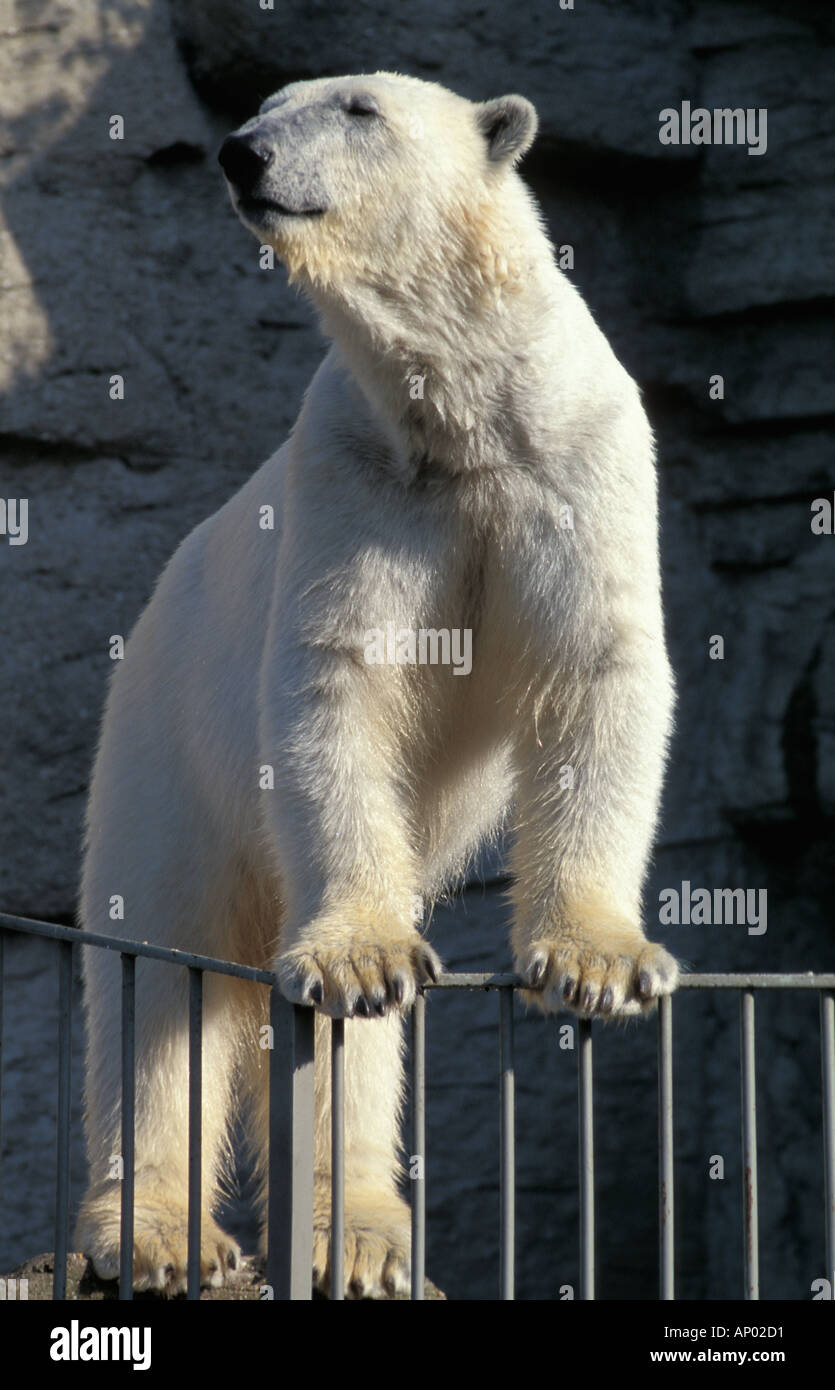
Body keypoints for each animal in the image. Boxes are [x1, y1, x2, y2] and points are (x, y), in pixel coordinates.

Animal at [75, 71, 678, 1298]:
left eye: (357, 108)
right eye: (268, 103)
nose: (242, 152)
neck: (464, 405)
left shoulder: (573, 460)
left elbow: (598, 671)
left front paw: (595, 964)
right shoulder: (355, 471)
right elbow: (336, 686)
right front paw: (359, 955)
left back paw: (354, 1236)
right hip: (164, 740)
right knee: (155, 972)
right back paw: (156, 1232)